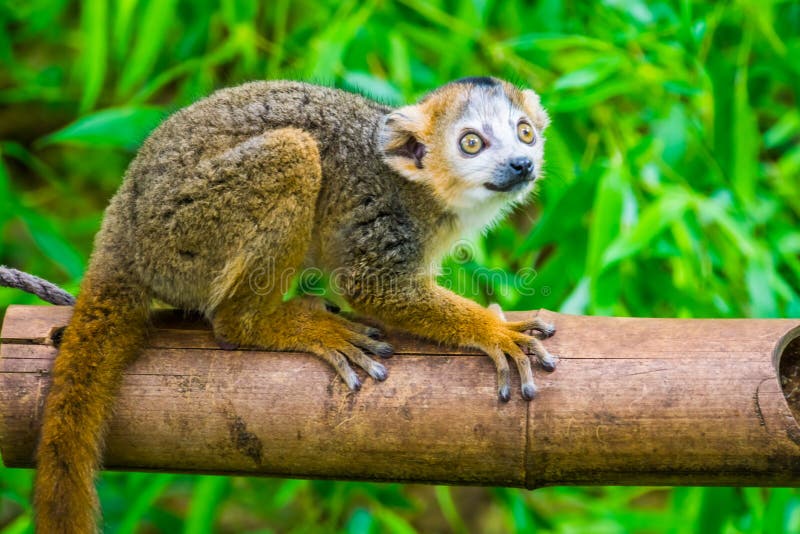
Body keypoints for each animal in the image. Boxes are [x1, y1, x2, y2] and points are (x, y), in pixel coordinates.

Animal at [33, 76, 557, 533]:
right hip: (181, 235)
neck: (425, 192)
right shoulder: (385, 215)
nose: (520, 165)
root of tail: (122, 223)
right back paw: (259, 324)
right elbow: (372, 286)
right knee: (292, 153)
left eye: (524, 133)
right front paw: (494, 332)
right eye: (472, 143)